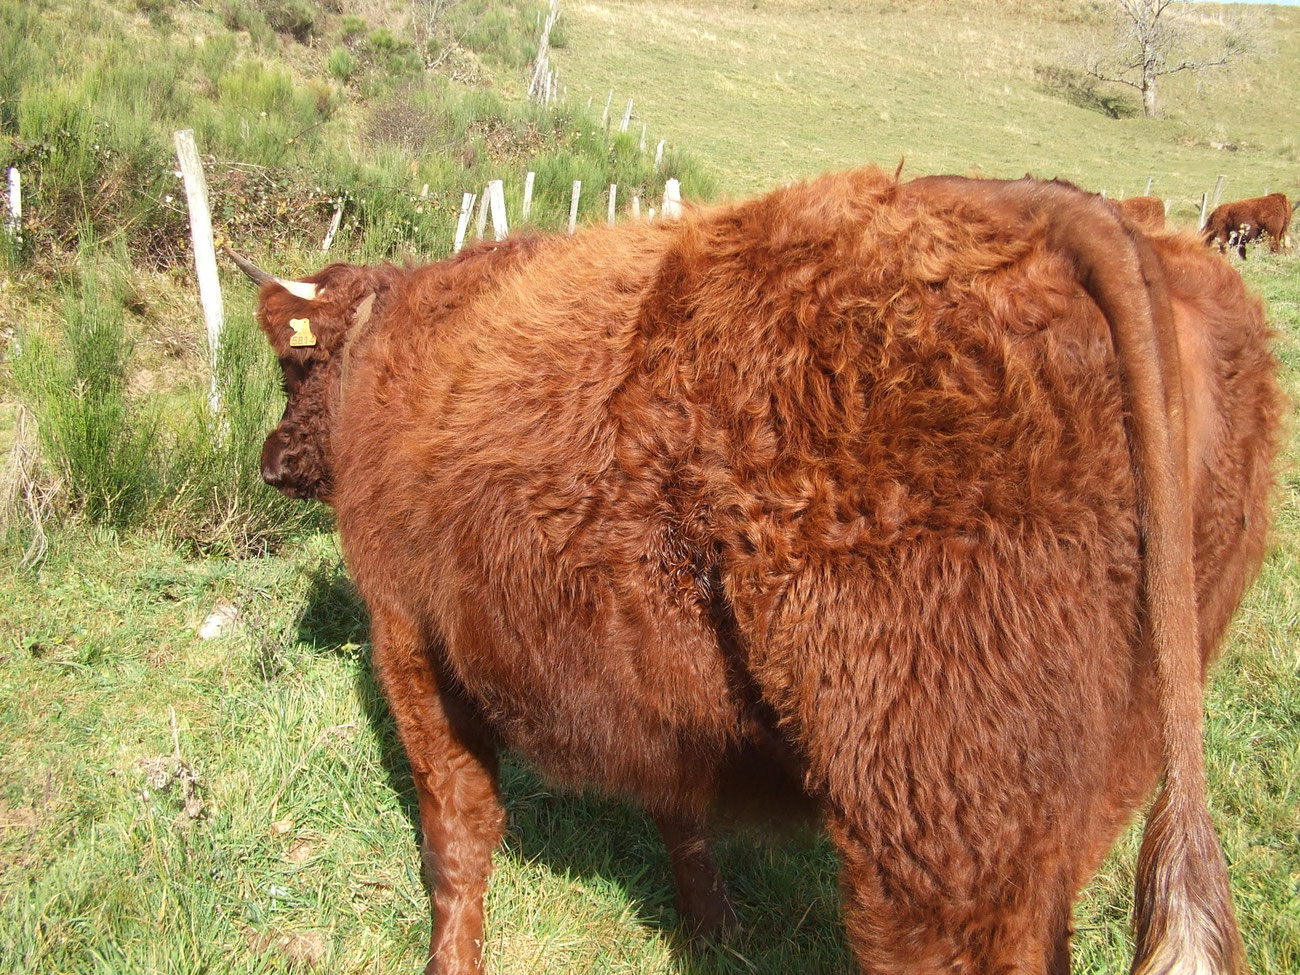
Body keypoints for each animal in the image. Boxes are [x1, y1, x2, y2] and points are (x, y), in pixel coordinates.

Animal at [231, 167, 1280, 975]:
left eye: (295, 367)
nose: (272, 463)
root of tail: (1059, 211)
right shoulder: (654, 685)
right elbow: (679, 811)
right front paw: (715, 929)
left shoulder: (406, 635)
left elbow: (456, 834)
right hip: (1098, 775)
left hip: (932, 816)